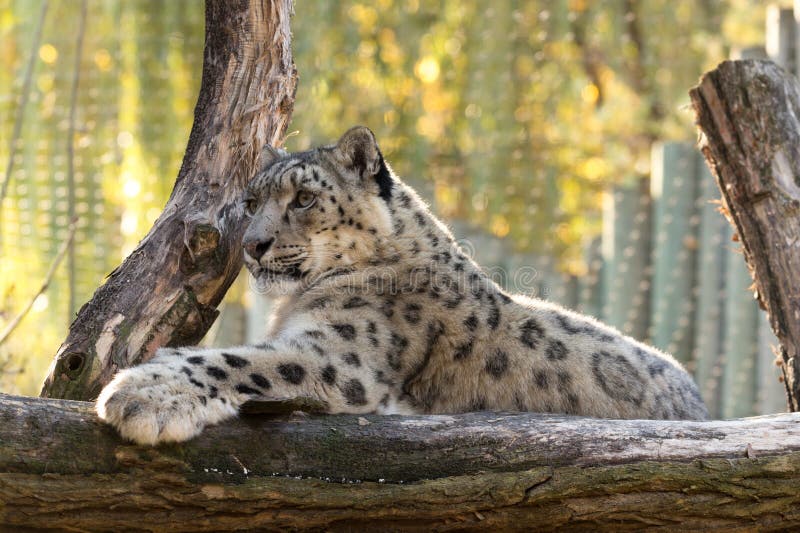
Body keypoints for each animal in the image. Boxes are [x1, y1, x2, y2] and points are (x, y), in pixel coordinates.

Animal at [97, 126, 708, 445]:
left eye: (304, 198)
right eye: (251, 201)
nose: (253, 244)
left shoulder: (339, 358)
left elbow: (243, 360)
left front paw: (141, 394)